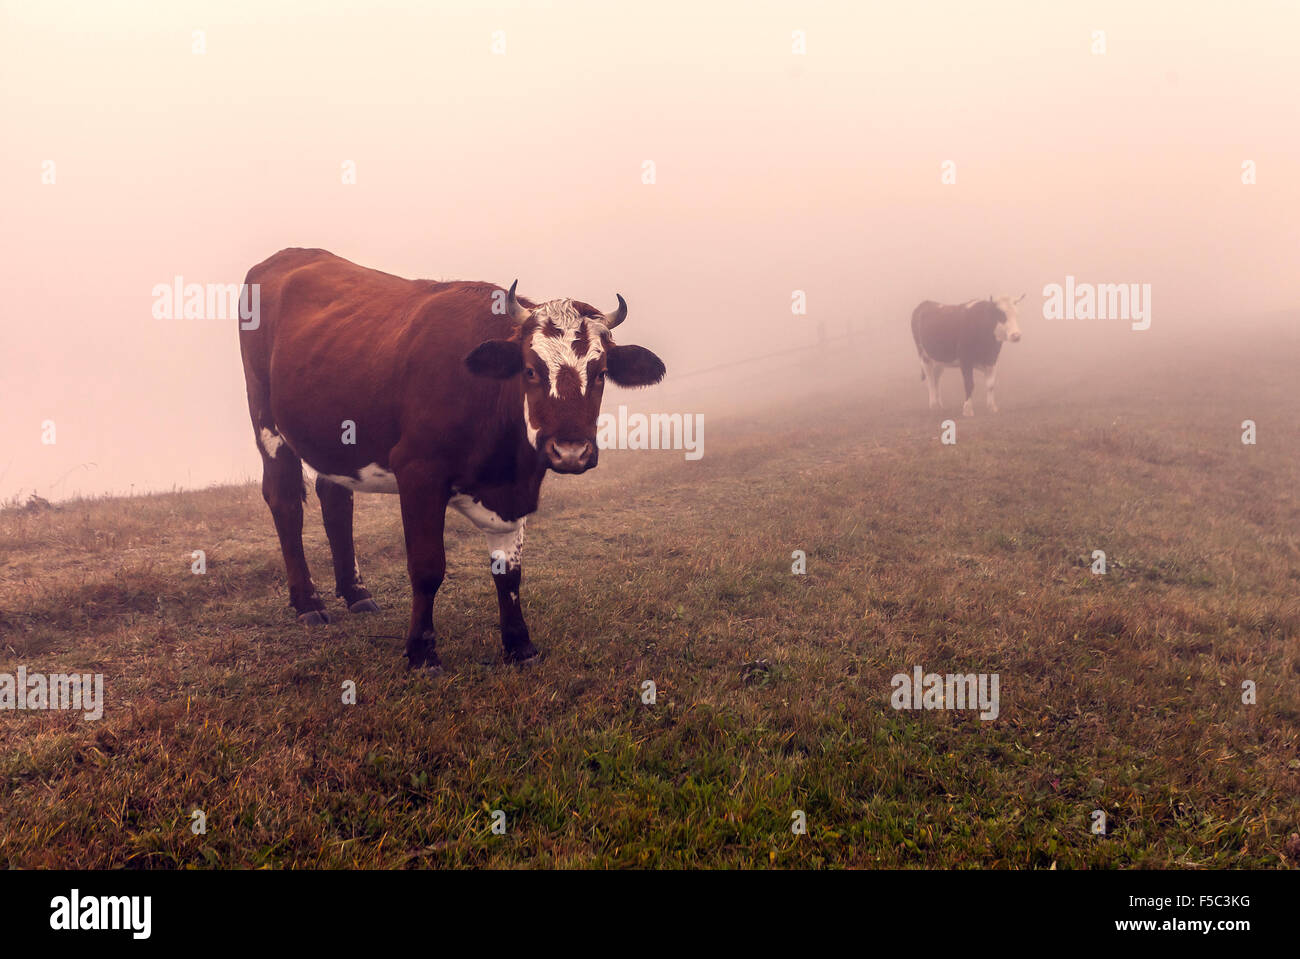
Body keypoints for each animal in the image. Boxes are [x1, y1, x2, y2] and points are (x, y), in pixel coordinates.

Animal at [239, 248, 666, 668]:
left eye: (601, 372)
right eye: (530, 370)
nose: (571, 451)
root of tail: (286, 256)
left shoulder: (511, 494)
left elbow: (509, 572)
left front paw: (519, 645)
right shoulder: (418, 472)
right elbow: (427, 567)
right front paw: (421, 651)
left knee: (335, 498)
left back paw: (357, 593)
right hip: (267, 421)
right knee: (285, 502)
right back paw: (307, 602)